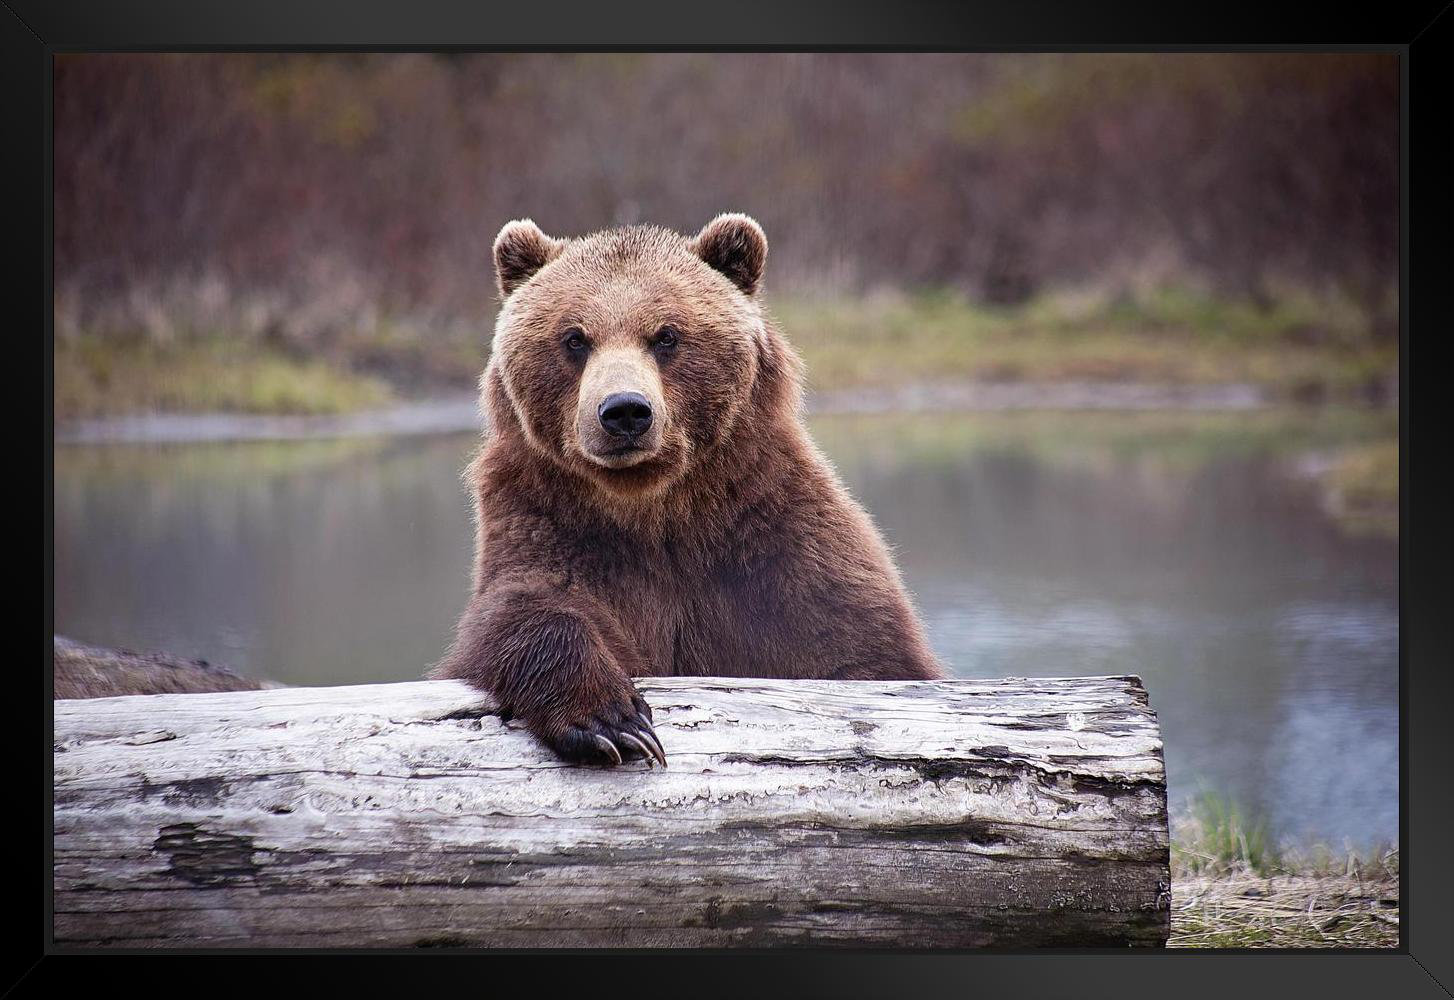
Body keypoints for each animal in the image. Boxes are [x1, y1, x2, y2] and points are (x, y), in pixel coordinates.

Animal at [435, 213, 943, 767]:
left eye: (666, 336)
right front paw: (612, 722)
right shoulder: (547, 522)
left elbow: (863, 650)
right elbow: (523, 608)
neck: (655, 508)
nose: (624, 410)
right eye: (574, 338)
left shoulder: (774, 542)